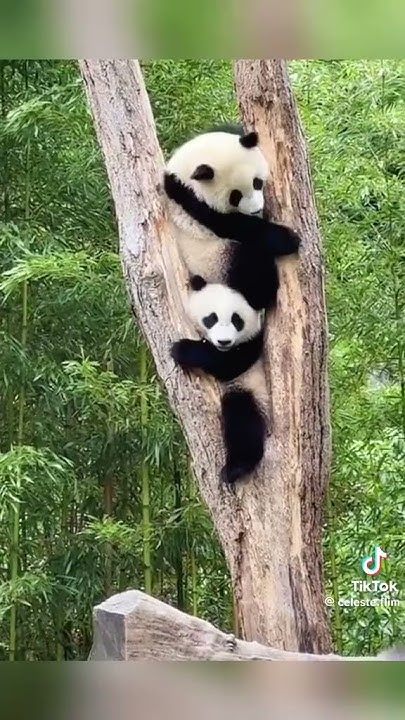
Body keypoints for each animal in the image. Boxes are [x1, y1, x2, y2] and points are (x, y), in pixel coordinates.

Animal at [164, 126, 300, 312]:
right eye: (235, 196)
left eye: (257, 182)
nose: (257, 210)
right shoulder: (197, 205)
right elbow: (240, 227)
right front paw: (290, 239)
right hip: (214, 262)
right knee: (250, 268)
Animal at [172, 276, 268, 484]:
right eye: (212, 318)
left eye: (236, 320)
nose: (224, 342)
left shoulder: (253, 345)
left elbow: (227, 365)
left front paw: (181, 349)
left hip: (254, 391)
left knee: (241, 418)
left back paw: (236, 468)